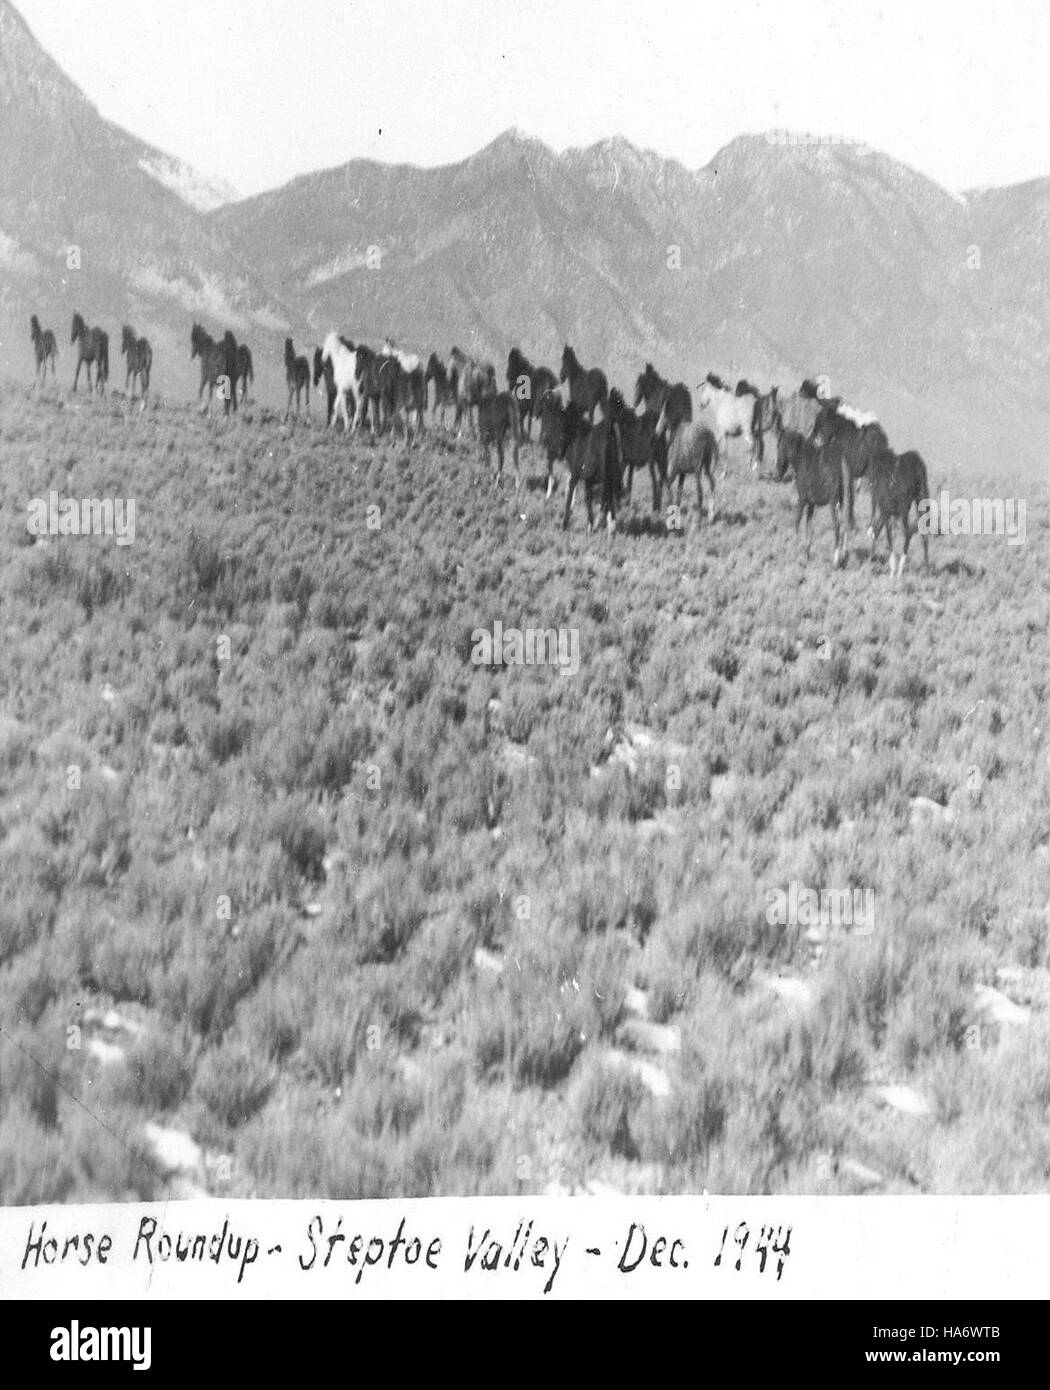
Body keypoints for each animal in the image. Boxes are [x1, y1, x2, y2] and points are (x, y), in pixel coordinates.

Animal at [865, 448, 931, 576]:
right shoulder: (887, 510)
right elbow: (878, 530)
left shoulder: (886, 509)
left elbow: (885, 533)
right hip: (920, 499)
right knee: (922, 532)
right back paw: (926, 569)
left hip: (903, 507)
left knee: (907, 531)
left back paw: (898, 570)